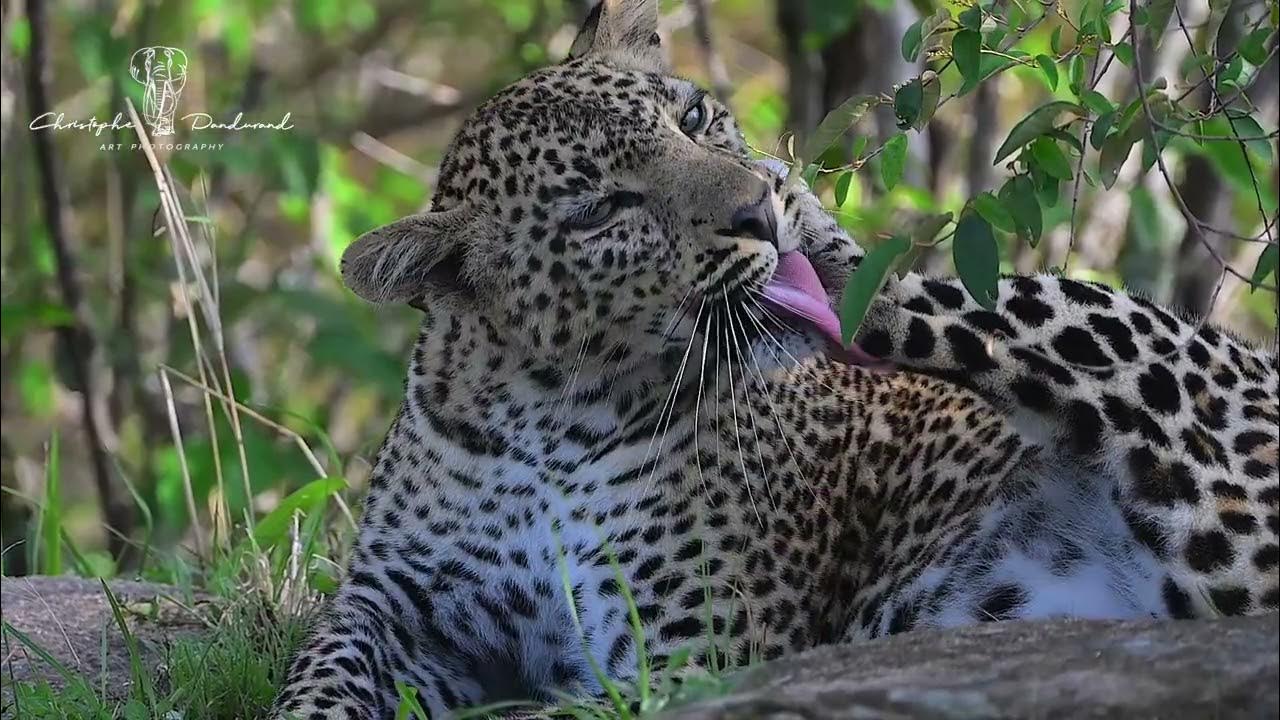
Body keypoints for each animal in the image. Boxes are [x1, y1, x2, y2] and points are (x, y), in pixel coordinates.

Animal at [274, 1, 1279, 717]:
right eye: (602, 209)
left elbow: (553, 713)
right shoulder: (393, 607)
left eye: (693, 115)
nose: (761, 205)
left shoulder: (693, 652)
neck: (542, 419)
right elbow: (316, 671)